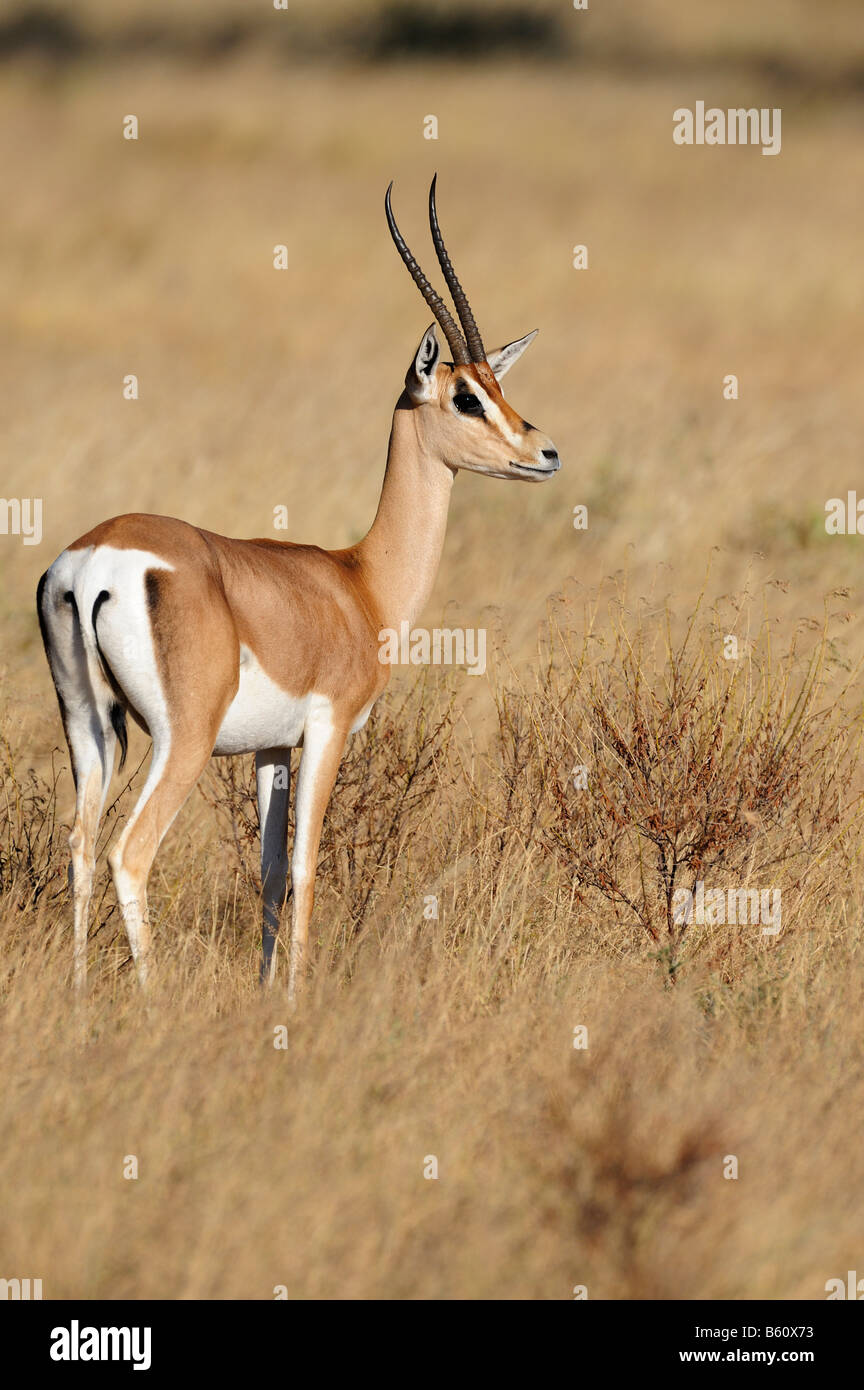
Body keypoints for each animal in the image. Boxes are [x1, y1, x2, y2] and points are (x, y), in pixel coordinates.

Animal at [37, 177, 561, 998]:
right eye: (466, 397)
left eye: (499, 384)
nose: (545, 453)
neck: (360, 583)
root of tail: (94, 560)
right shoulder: (328, 729)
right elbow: (311, 866)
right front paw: (295, 997)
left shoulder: (270, 749)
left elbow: (272, 871)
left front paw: (265, 994)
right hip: (179, 741)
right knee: (130, 852)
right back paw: (150, 1000)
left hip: (92, 731)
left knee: (82, 849)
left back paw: (84, 994)